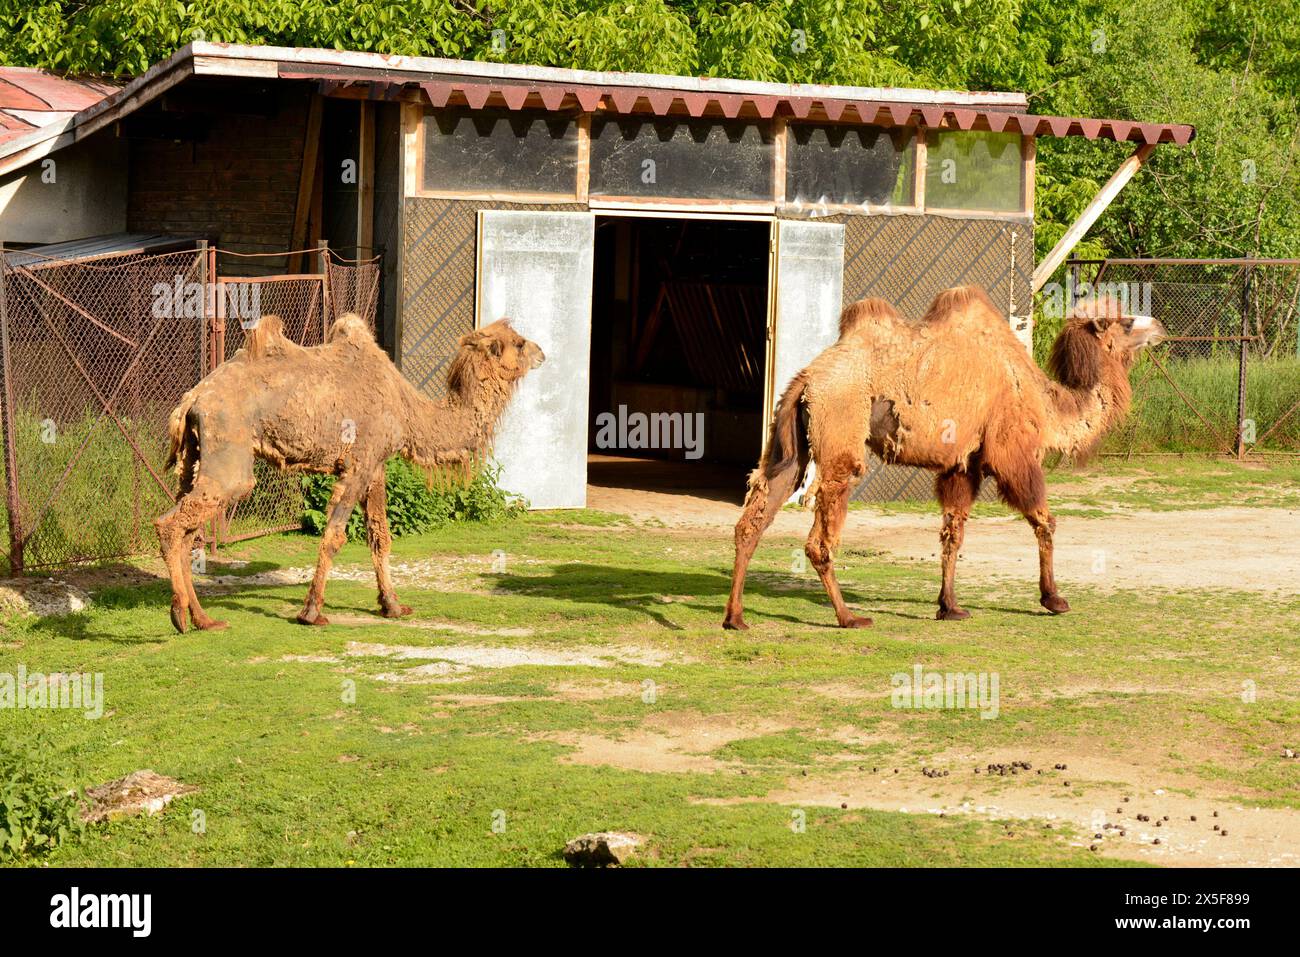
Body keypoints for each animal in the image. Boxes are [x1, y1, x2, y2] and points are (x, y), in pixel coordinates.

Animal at [155, 313, 543, 633]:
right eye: (519, 343)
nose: (542, 352)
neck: (407, 409)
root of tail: (191, 400)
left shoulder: (377, 465)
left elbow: (380, 535)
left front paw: (393, 606)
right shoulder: (359, 462)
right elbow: (334, 536)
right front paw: (311, 613)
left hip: (194, 457)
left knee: (188, 528)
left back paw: (203, 619)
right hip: (230, 457)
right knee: (171, 523)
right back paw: (179, 614)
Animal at [722, 286, 1165, 630]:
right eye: (1127, 323)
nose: (1159, 326)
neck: (1044, 401)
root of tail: (807, 380)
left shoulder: (961, 464)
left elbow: (953, 532)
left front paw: (949, 606)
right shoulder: (1013, 451)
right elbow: (1044, 520)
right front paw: (1053, 599)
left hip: (790, 443)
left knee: (754, 515)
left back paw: (735, 617)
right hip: (840, 435)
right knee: (819, 538)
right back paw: (849, 618)